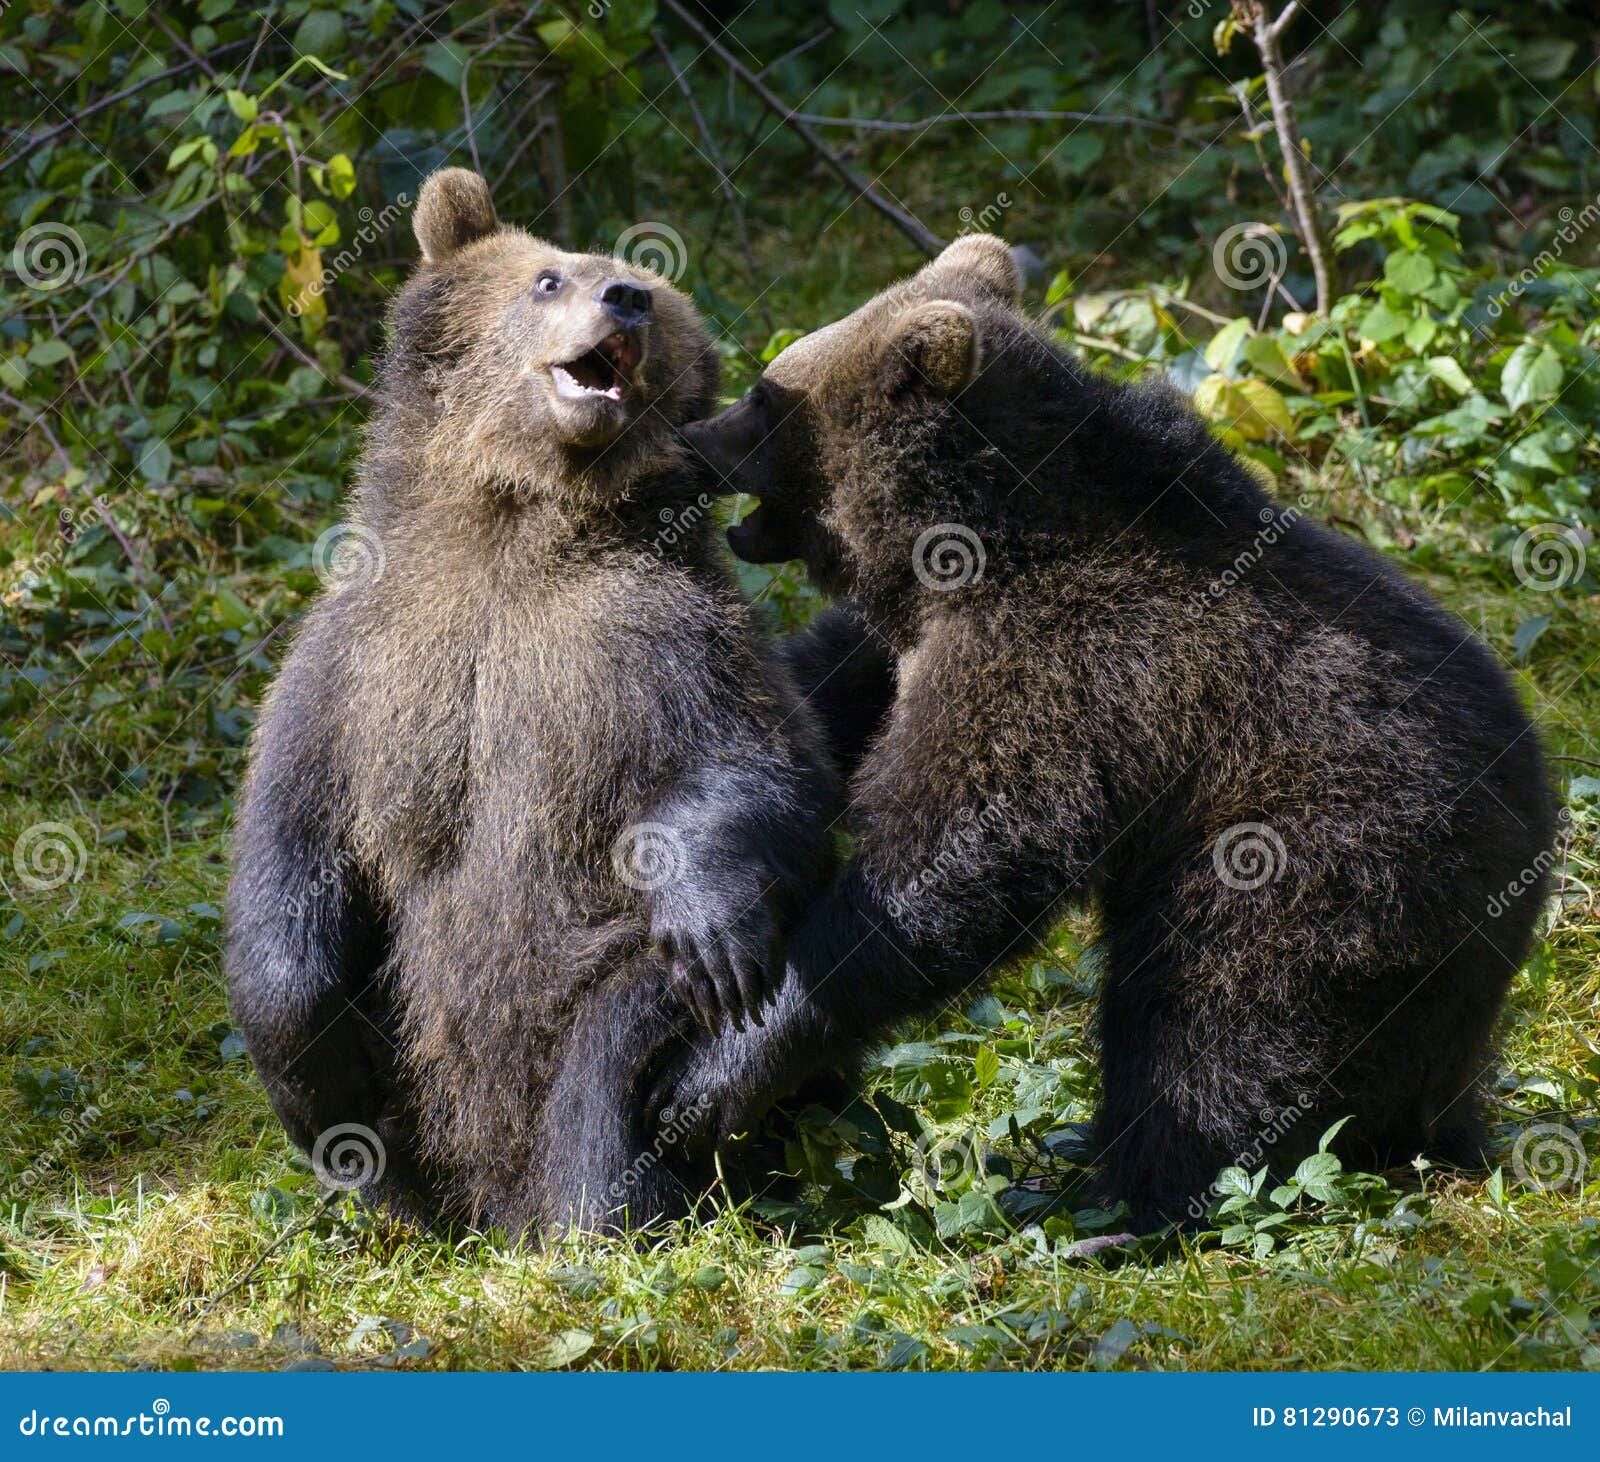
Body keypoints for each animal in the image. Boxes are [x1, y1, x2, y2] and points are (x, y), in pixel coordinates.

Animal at [225, 168, 840, 1237]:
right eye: (549, 277)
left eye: (650, 287)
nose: (625, 298)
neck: (518, 525)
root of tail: (492, 1192)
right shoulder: (360, 669)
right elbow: (292, 845)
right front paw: (314, 1076)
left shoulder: (656, 639)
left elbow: (761, 768)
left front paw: (712, 915)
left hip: (584, 979)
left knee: (615, 1049)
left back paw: (606, 1205)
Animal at [656, 233, 1558, 1230]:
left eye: (765, 392)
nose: (694, 440)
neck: (969, 547)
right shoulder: (912, 647)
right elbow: (824, 692)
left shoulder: (1076, 674)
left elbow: (948, 867)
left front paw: (720, 1068)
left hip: (1324, 854)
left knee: (1220, 1021)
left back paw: (1132, 1203)